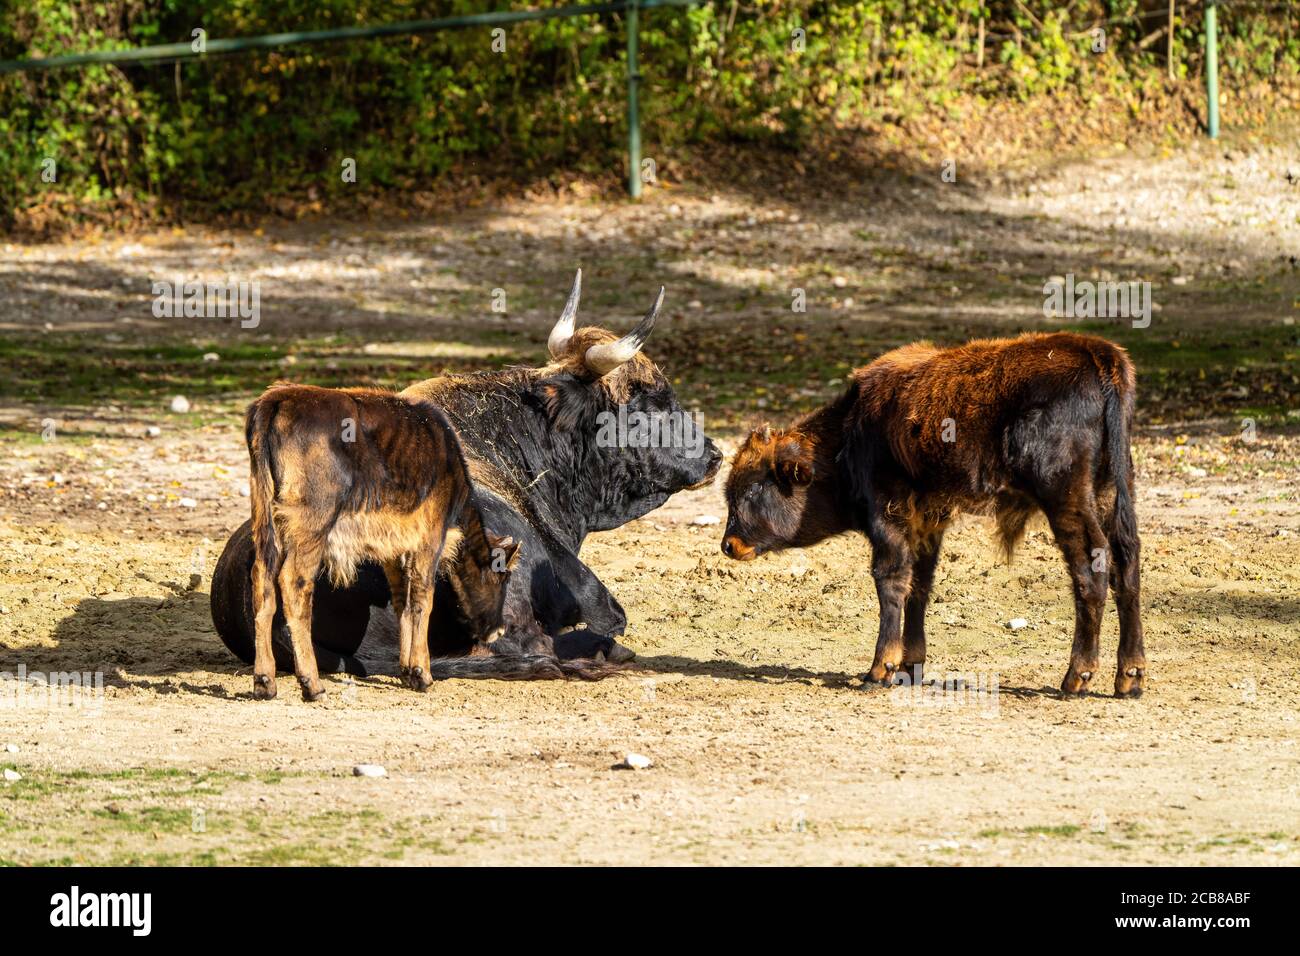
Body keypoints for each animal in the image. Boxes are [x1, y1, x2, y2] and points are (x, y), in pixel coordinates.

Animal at [245, 383, 521, 701]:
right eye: (502, 577)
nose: (498, 630)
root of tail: (277, 398)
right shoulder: (430, 539)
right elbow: (422, 601)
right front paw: (422, 674)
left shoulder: (394, 551)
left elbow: (402, 602)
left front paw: (407, 671)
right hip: (311, 523)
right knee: (294, 583)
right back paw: (312, 684)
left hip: (268, 523)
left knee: (262, 583)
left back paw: (265, 681)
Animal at [721, 332, 1145, 698]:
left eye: (754, 488)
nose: (729, 545)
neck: (851, 431)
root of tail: (1097, 354)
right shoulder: (928, 522)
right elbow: (919, 587)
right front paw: (910, 666)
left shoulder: (888, 518)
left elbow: (891, 582)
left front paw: (880, 669)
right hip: (1113, 494)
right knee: (1126, 567)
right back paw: (1129, 678)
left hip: (1066, 500)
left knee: (1091, 571)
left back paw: (1077, 677)